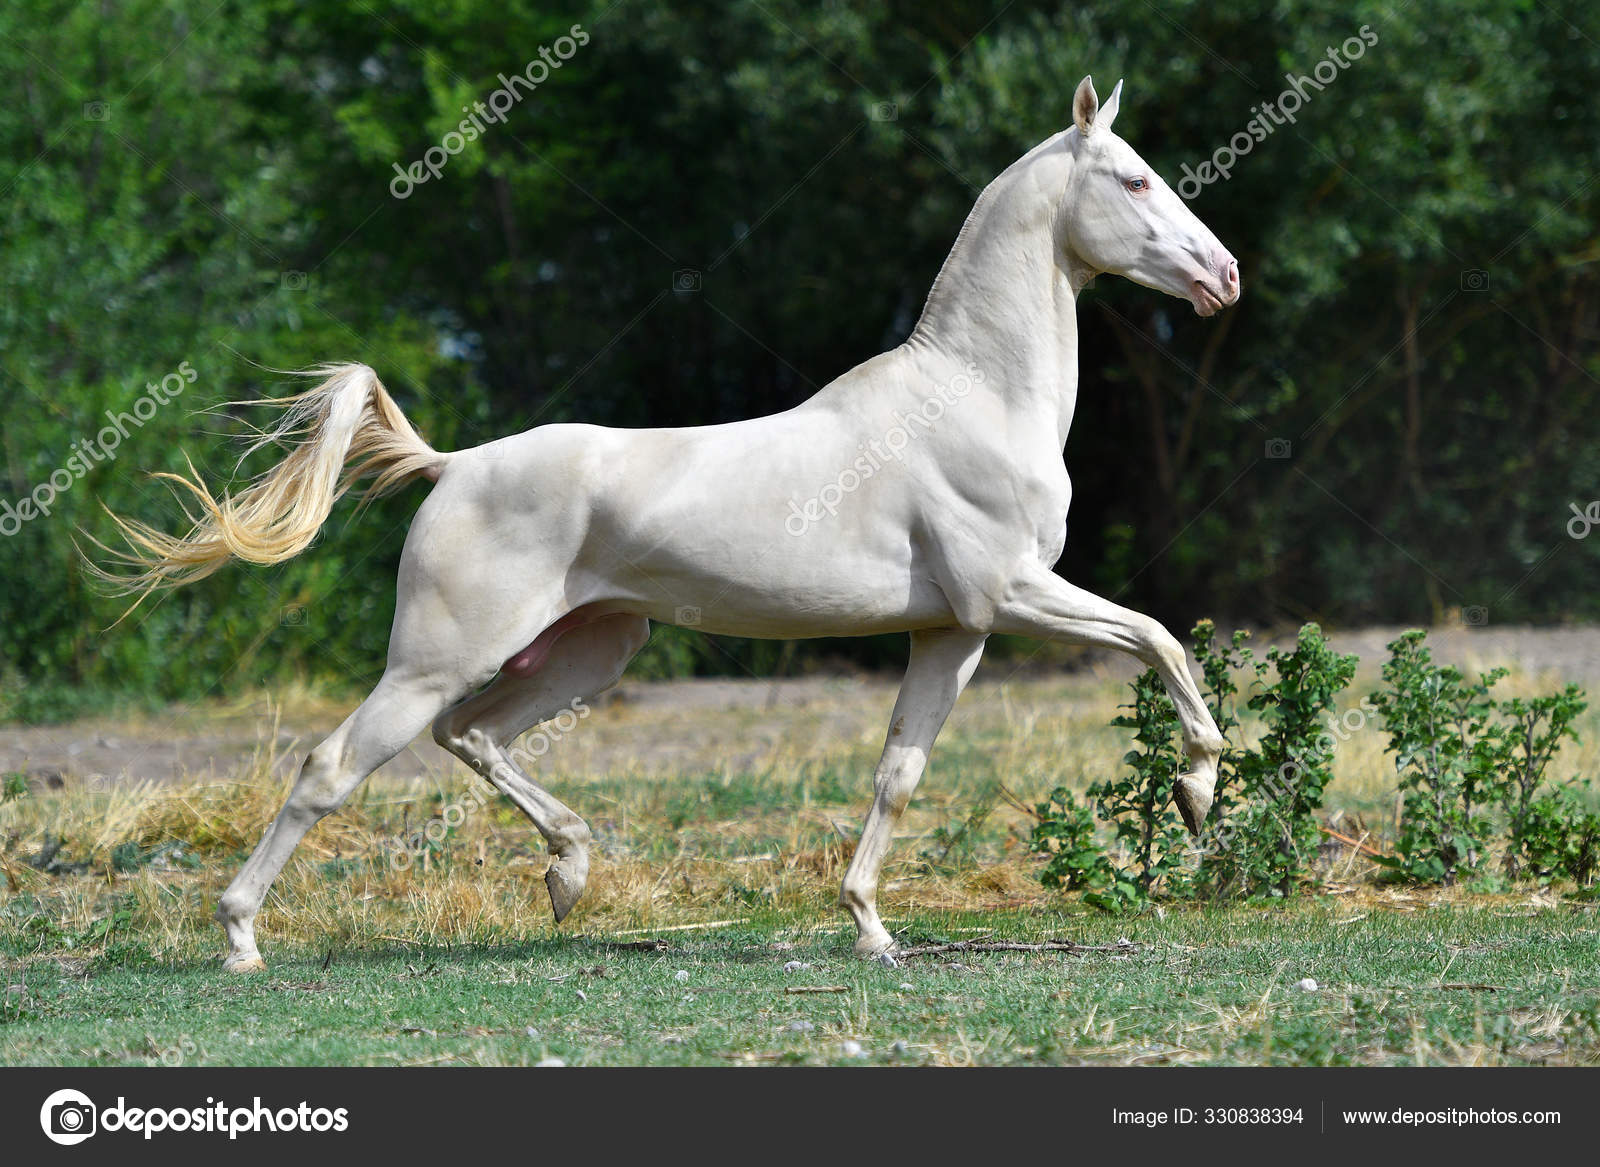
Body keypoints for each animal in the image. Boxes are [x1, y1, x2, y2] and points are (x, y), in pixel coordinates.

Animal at [97, 77, 1239, 971]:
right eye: (1135, 179)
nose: (1221, 277)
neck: (973, 398)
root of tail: (455, 465)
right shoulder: (1011, 594)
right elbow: (1159, 638)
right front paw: (1195, 790)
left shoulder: (952, 630)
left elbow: (898, 774)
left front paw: (870, 927)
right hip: (437, 657)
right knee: (336, 766)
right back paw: (241, 938)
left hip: (590, 648)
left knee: (471, 734)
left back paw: (567, 874)